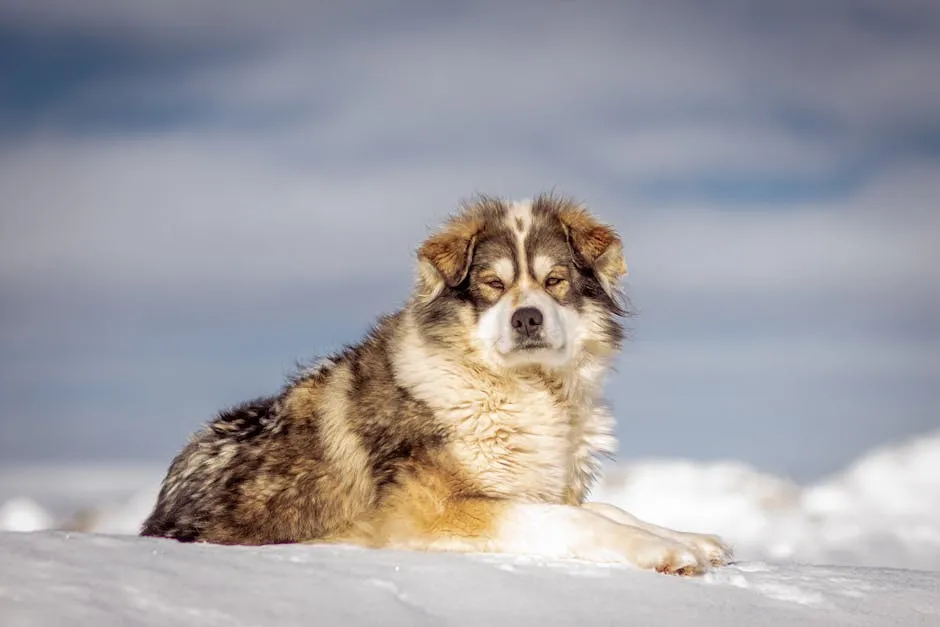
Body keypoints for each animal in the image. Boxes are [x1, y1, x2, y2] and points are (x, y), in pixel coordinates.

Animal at [140, 194, 732, 576]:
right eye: (492, 285)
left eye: (554, 281)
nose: (527, 319)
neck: (525, 391)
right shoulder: (429, 511)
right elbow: (571, 518)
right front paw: (664, 553)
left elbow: (606, 508)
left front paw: (690, 538)